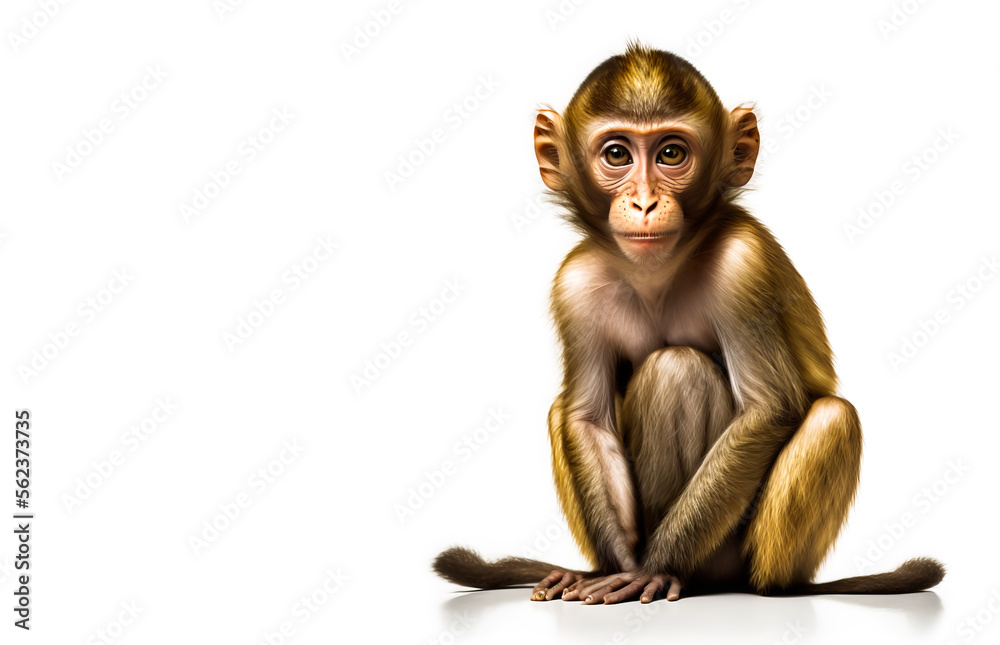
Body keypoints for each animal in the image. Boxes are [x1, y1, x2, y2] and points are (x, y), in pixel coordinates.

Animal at [433, 43, 944, 604]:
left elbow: (769, 408)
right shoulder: (574, 284)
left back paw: (752, 585)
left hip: (740, 551)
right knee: (563, 410)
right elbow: (586, 417)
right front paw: (617, 567)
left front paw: (649, 569)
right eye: (617, 155)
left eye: (672, 154)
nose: (644, 202)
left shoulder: (744, 264)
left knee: (788, 403)